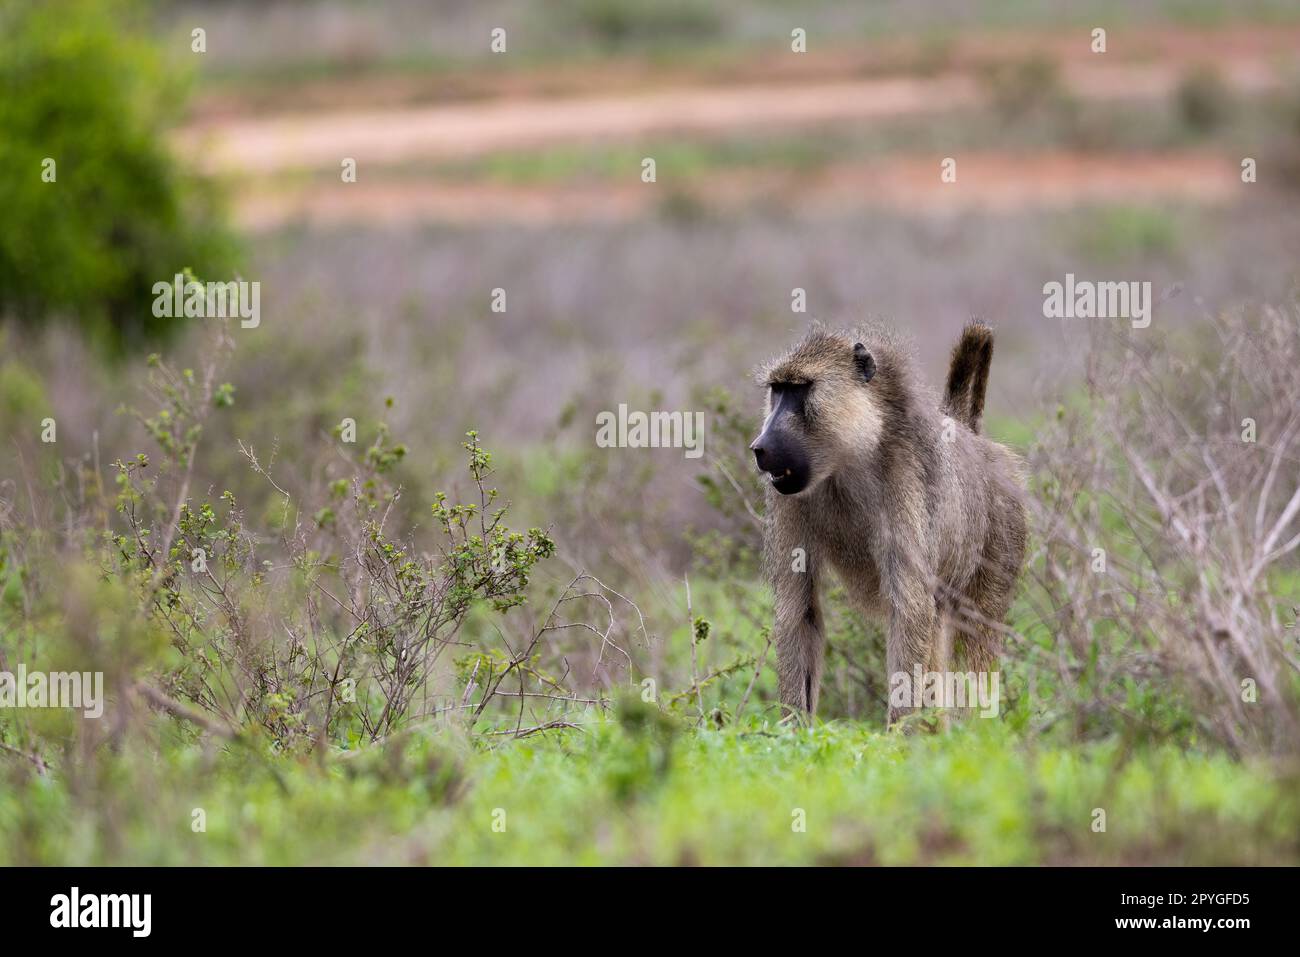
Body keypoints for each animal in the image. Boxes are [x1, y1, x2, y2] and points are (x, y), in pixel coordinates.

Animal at [750, 320, 1026, 728]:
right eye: (778, 390)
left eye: (801, 389)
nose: (760, 447)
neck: (849, 460)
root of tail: (976, 441)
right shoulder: (789, 496)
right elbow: (800, 611)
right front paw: (793, 731)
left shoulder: (903, 478)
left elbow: (909, 609)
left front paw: (899, 734)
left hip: (1003, 533)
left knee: (975, 639)